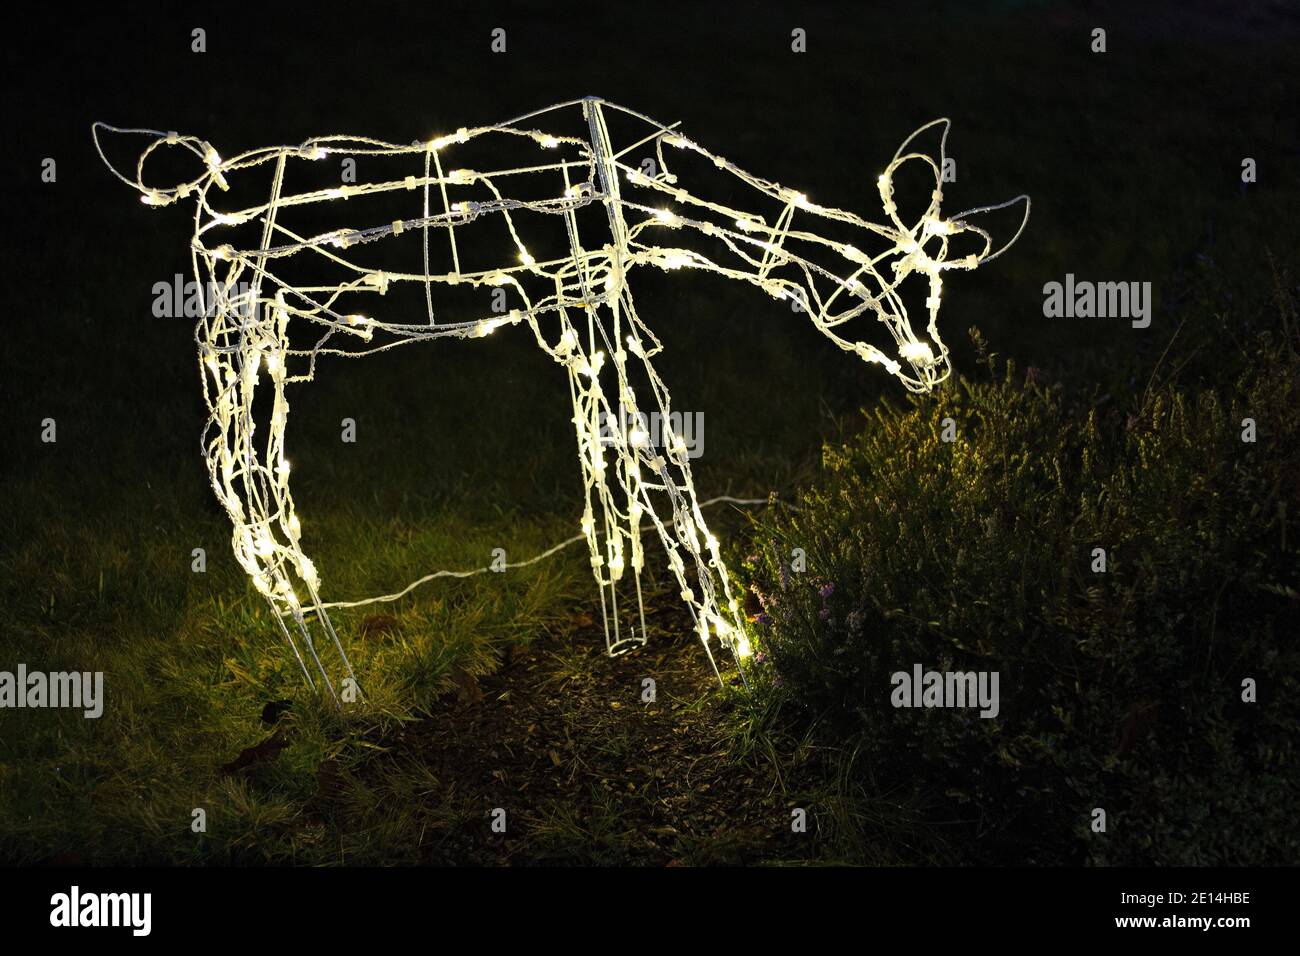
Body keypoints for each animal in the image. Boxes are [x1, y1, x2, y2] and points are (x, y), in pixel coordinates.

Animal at [94, 97, 1028, 704]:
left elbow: (602, 462)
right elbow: (654, 449)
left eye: (938, 289)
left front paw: (631, 635)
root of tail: (200, 189)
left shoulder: (574, 298)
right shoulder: (586, 287)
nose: (931, 368)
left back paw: (325, 673)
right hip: (239, 332)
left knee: (249, 485)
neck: (638, 197)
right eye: (876, 285)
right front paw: (742, 658)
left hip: (278, 340)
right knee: (243, 481)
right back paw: (337, 680)